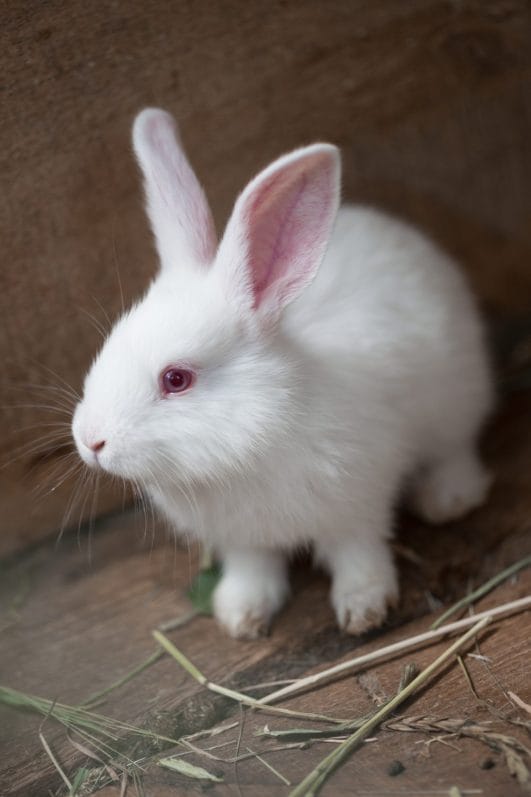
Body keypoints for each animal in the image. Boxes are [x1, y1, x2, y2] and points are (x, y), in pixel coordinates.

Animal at [72, 108, 494, 639]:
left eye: (176, 379)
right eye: (110, 344)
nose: (90, 441)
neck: (250, 444)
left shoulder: (356, 503)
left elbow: (360, 554)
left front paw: (363, 609)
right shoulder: (243, 540)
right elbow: (253, 572)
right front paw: (239, 617)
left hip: (455, 399)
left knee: (457, 450)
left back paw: (447, 500)